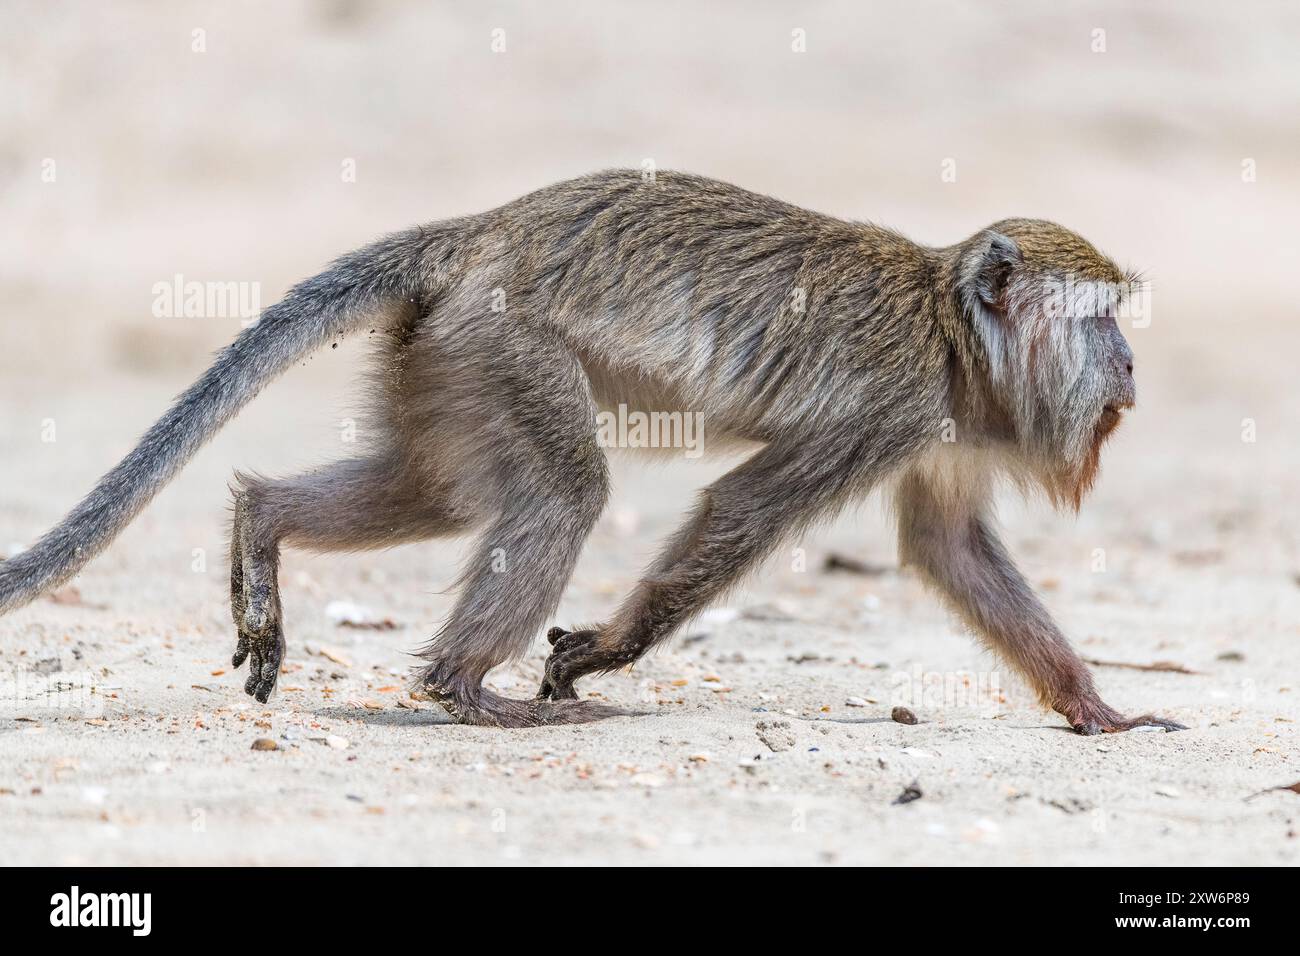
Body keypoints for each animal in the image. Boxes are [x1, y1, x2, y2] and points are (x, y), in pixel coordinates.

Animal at [0, 169, 1185, 734]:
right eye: (1100, 323)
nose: (1133, 366)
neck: (952, 334)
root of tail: (483, 232)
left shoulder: (946, 420)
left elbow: (950, 547)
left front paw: (1091, 704)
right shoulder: (891, 406)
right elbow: (742, 512)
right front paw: (609, 650)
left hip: (443, 346)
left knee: (433, 489)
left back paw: (266, 521)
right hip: (502, 338)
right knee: (565, 489)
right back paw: (467, 688)